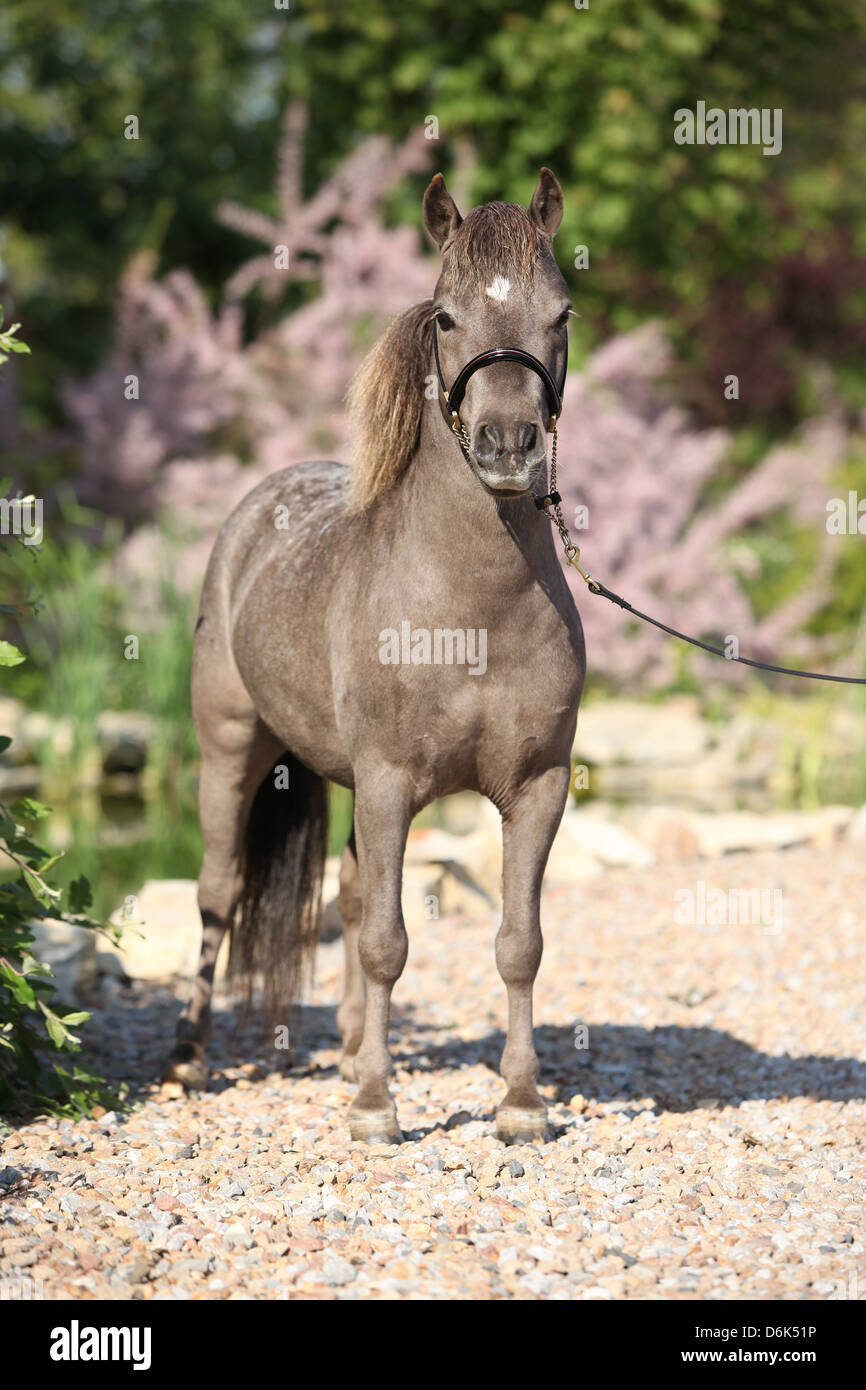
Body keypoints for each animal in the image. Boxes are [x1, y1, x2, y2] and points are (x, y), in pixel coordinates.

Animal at [163, 168, 585, 1145]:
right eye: (446, 317)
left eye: (562, 313)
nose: (510, 445)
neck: (471, 613)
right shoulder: (391, 782)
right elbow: (389, 942)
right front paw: (375, 1109)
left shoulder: (537, 788)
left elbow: (519, 943)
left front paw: (520, 1105)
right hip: (229, 749)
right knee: (219, 889)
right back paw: (189, 1057)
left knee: (351, 899)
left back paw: (355, 1046)